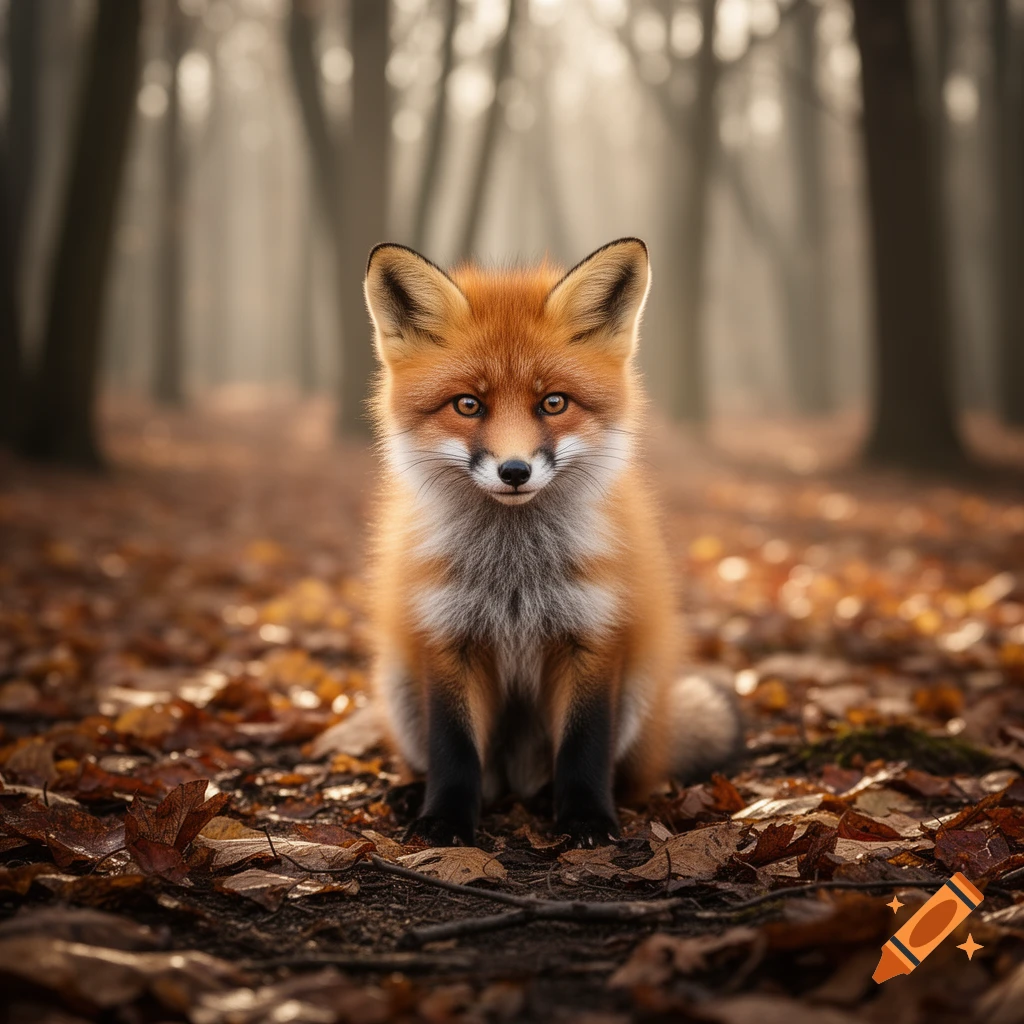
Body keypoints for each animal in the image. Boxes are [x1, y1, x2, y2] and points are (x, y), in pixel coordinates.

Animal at [363, 237, 743, 848]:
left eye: (554, 403)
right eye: (468, 405)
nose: (514, 471)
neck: (515, 573)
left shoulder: (593, 633)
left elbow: (584, 748)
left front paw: (586, 819)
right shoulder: (447, 636)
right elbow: (454, 751)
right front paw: (445, 819)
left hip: (638, 687)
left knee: (616, 773)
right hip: (399, 682)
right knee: (471, 773)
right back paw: (411, 792)